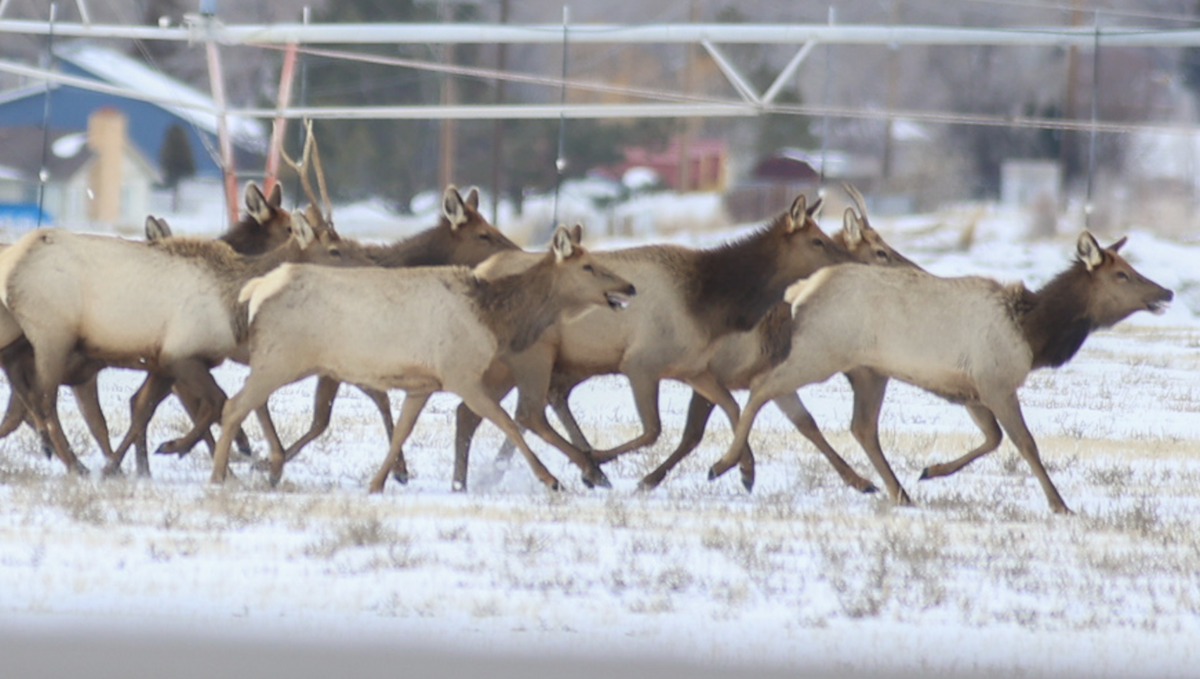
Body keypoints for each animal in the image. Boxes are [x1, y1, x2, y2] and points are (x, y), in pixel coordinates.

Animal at [209, 224, 636, 492]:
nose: (629, 286)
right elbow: (507, 423)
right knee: (233, 405)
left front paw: (378, 482)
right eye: (588, 266)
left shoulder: (423, 385)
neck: (493, 317)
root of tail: (258, 287)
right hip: (281, 358)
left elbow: (402, 431)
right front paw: (551, 479)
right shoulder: (461, 374)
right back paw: (219, 476)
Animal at [451, 193, 854, 491]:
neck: (713, 304)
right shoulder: (641, 363)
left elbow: (733, 409)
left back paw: (463, 482)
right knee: (516, 413)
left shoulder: (693, 368)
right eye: (818, 240)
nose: (849, 260)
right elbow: (655, 430)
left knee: (471, 412)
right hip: (529, 357)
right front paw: (599, 464)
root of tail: (481, 271)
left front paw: (741, 469)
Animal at [706, 231, 1173, 514]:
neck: (1033, 334)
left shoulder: (971, 391)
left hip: (869, 371)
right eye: (1122, 274)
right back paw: (729, 464)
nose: (1166, 291)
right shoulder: (996, 380)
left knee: (862, 427)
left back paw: (899, 491)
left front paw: (932, 470)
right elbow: (1025, 443)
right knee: (763, 386)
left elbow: (993, 439)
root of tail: (802, 289)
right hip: (822, 351)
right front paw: (1060, 504)